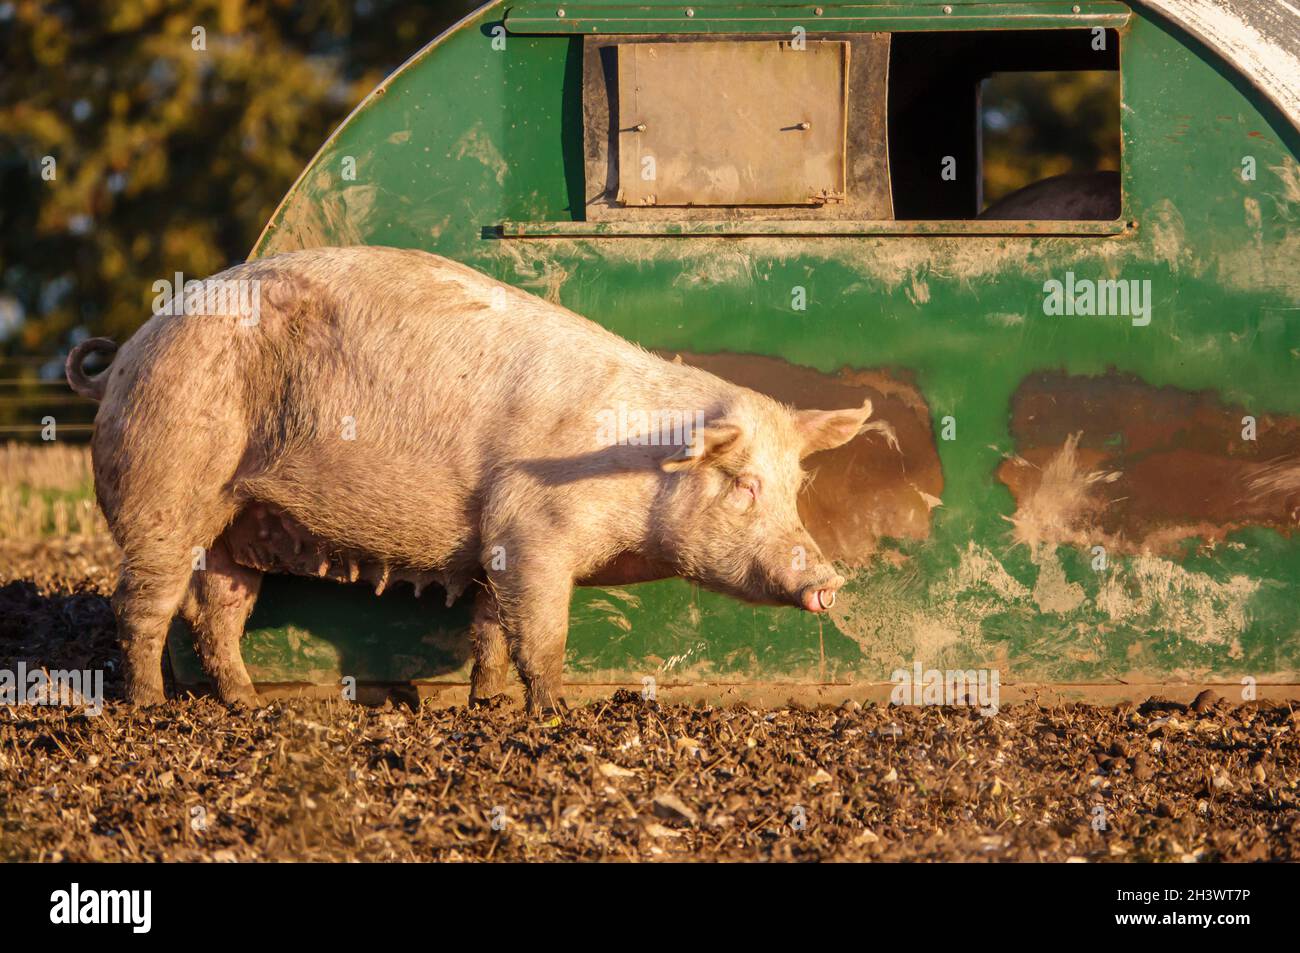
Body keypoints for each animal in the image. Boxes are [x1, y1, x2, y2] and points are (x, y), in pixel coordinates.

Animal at [66, 246, 874, 715]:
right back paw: (150, 709)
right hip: (165, 486)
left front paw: (485, 707)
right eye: (743, 483)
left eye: (795, 486)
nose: (828, 579)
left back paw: (250, 706)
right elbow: (540, 637)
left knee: (219, 609)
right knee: (141, 604)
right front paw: (552, 717)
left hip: (237, 517)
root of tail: (128, 352)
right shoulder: (534, 530)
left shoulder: (494, 542)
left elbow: (490, 629)